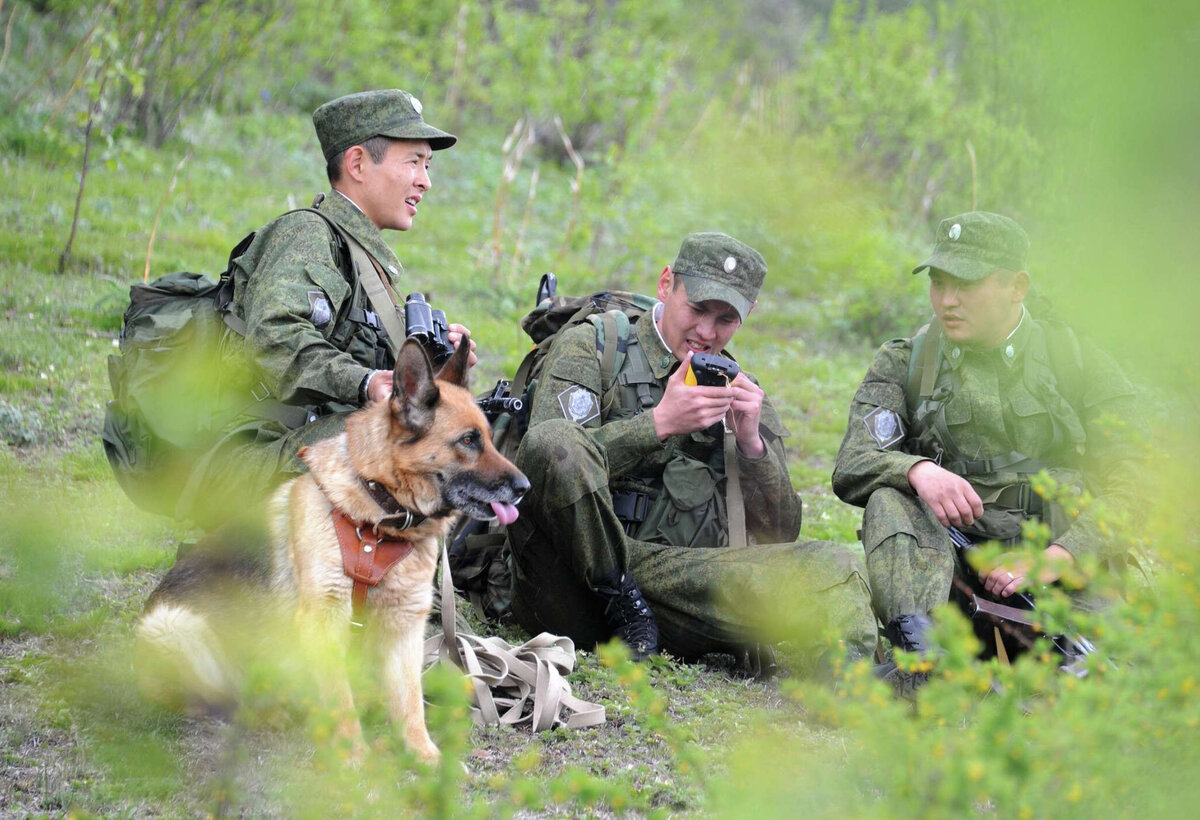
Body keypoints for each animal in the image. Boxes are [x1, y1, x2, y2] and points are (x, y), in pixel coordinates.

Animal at [133, 336, 528, 758]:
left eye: (487, 437)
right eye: (468, 441)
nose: (525, 487)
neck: (380, 518)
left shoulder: (404, 627)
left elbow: (409, 700)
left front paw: (424, 756)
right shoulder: (324, 621)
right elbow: (340, 699)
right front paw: (353, 759)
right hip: (176, 628)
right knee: (220, 699)